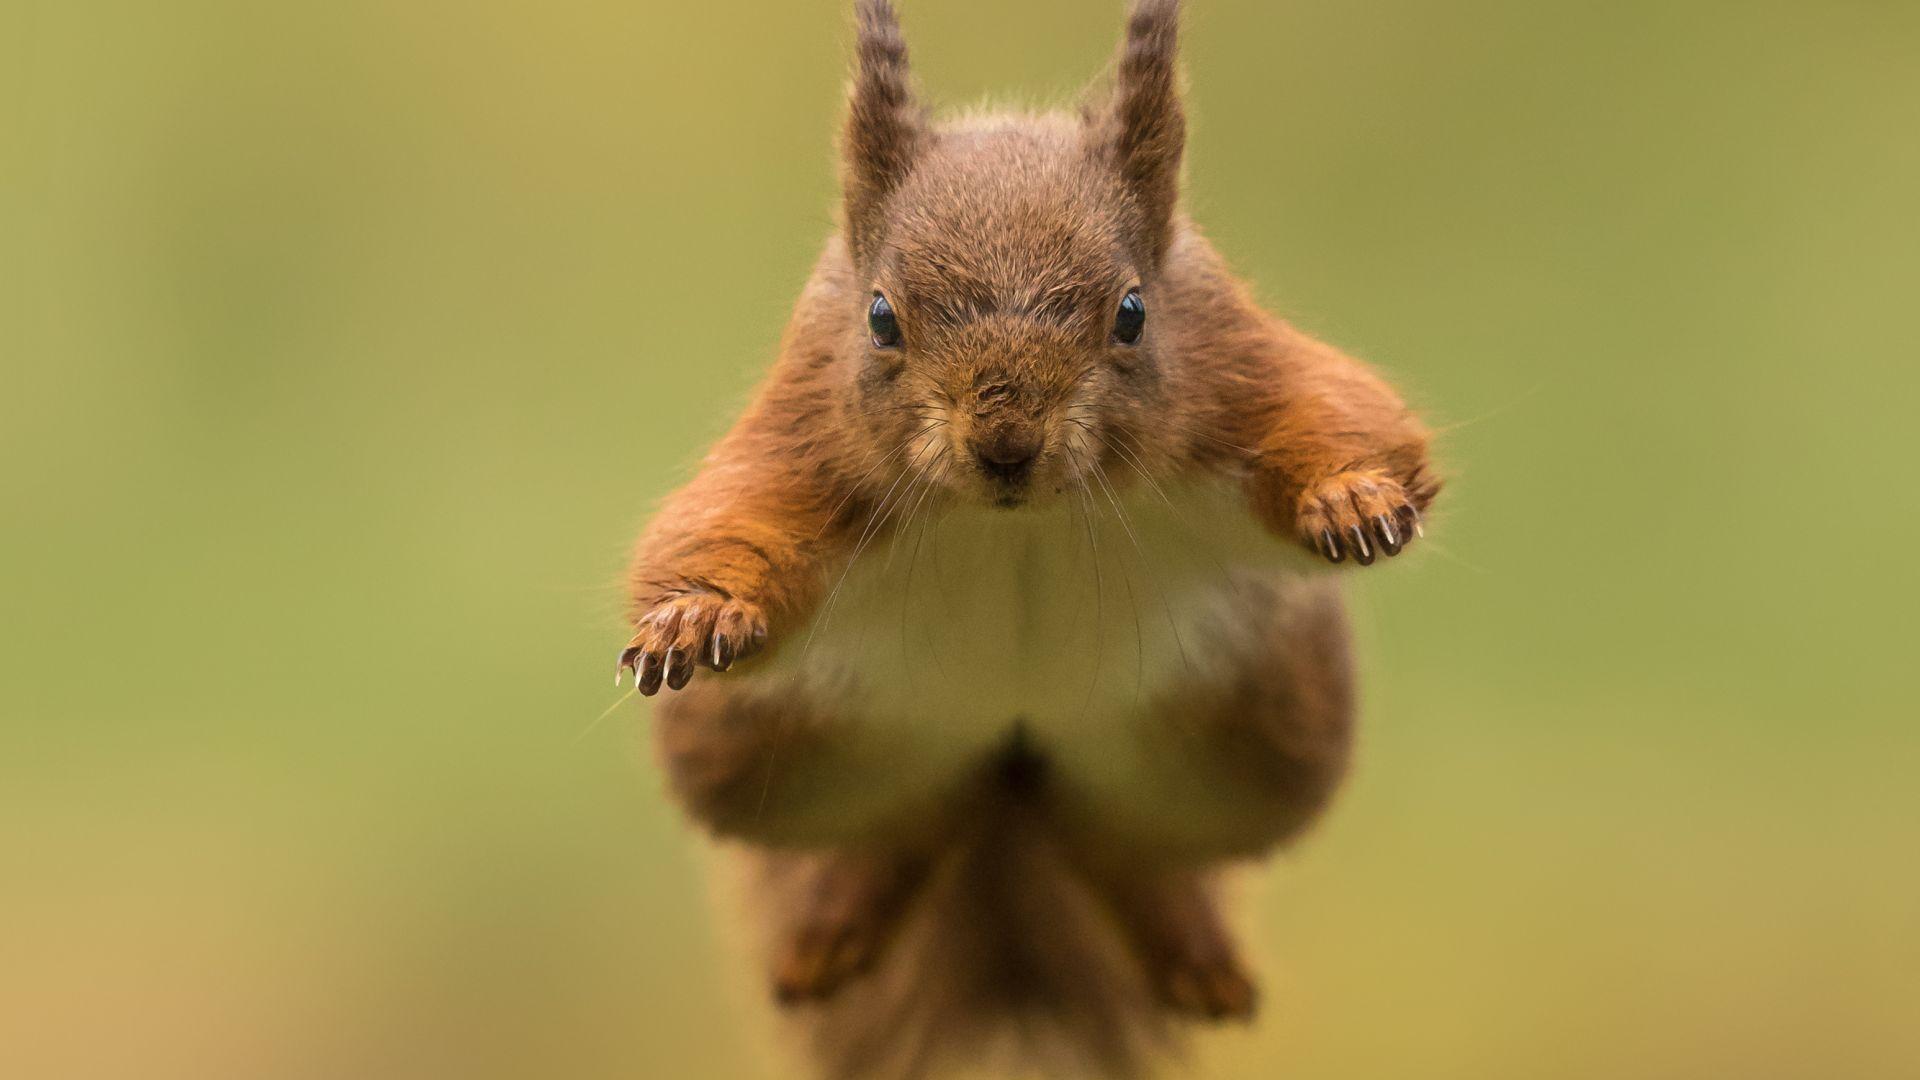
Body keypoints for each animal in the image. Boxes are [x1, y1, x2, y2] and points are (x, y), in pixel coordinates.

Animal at [616, 2, 1439, 1077]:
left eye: (1132, 312)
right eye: (880, 317)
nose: (1005, 443)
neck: (1018, 524)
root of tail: (1009, 762)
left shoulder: (1234, 362)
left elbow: (1351, 419)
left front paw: (1352, 497)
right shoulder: (803, 434)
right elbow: (726, 522)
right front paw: (694, 615)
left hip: (1261, 735)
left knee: (1107, 837)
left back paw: (1184, 948)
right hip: (760, 747)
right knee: (917, 821)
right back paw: (839, 927)